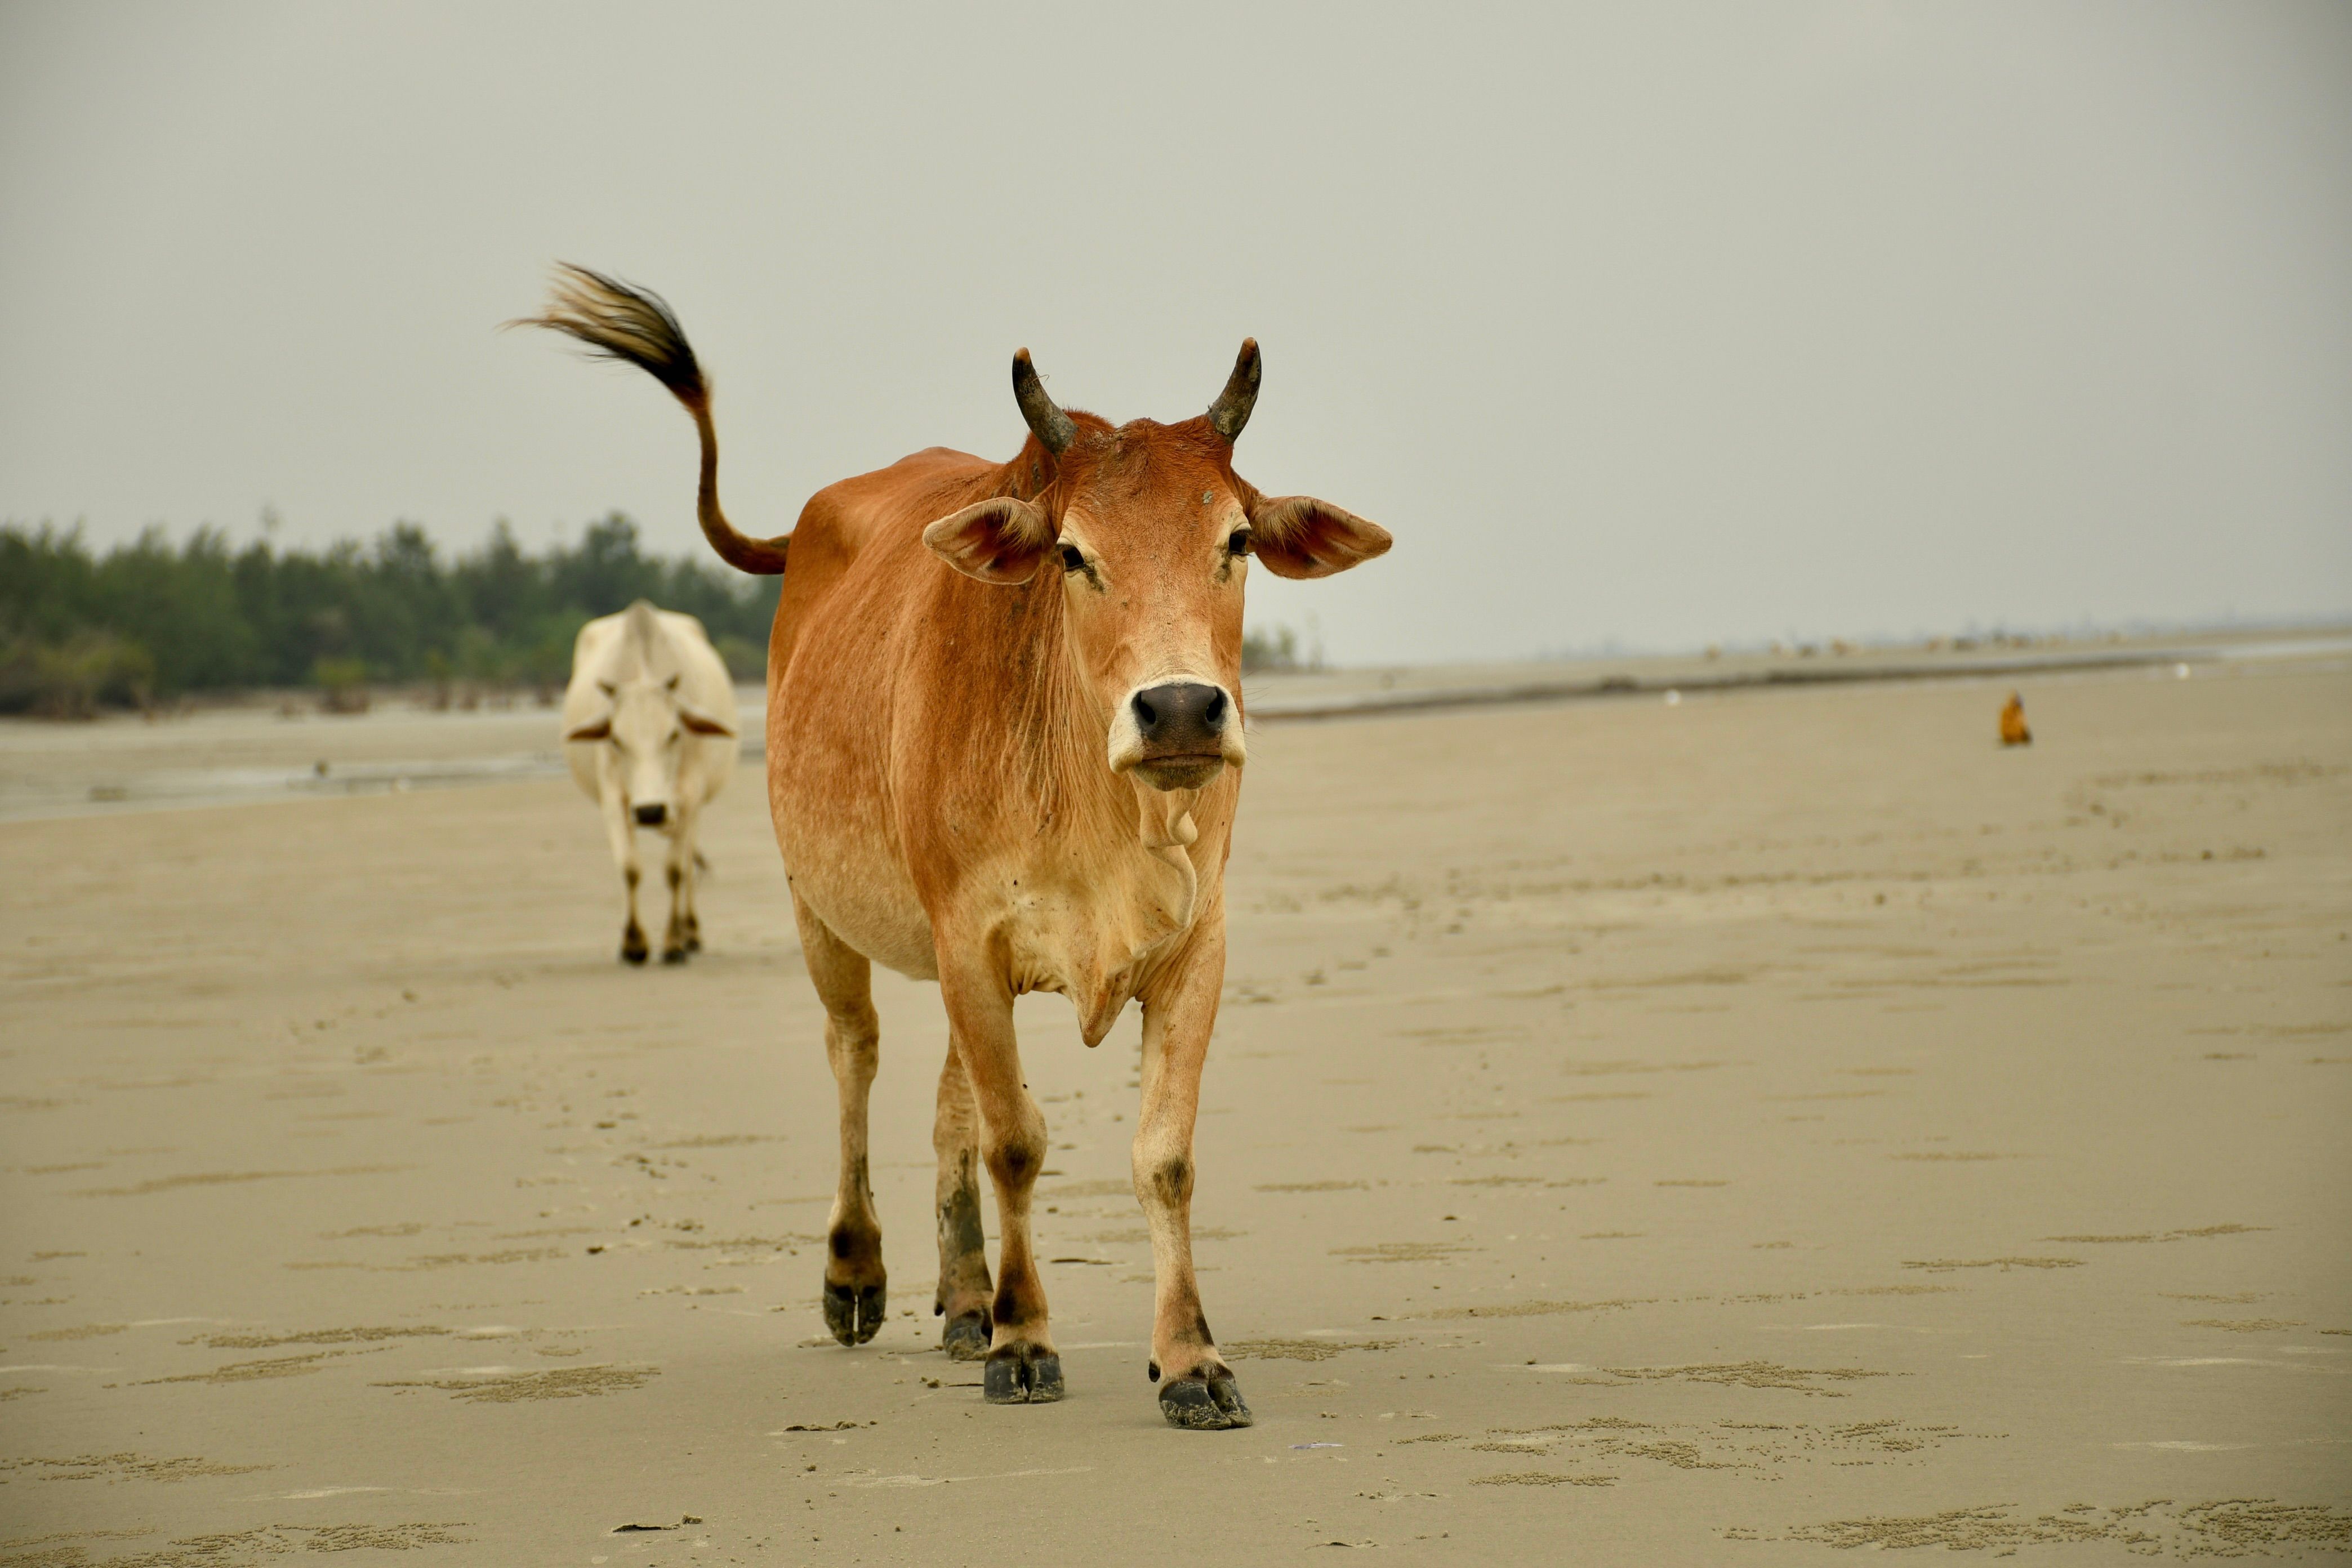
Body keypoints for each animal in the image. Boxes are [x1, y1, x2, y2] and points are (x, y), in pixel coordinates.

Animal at [560, 599, 741, 964]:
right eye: (616, 740)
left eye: (674, 734)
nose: (650, 812)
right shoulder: (614, 799)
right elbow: (630, 868)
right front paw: (633, 943)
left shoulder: (689, 796)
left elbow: (675, 870)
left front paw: (672, 942)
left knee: (687, 863)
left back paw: (690, 931)